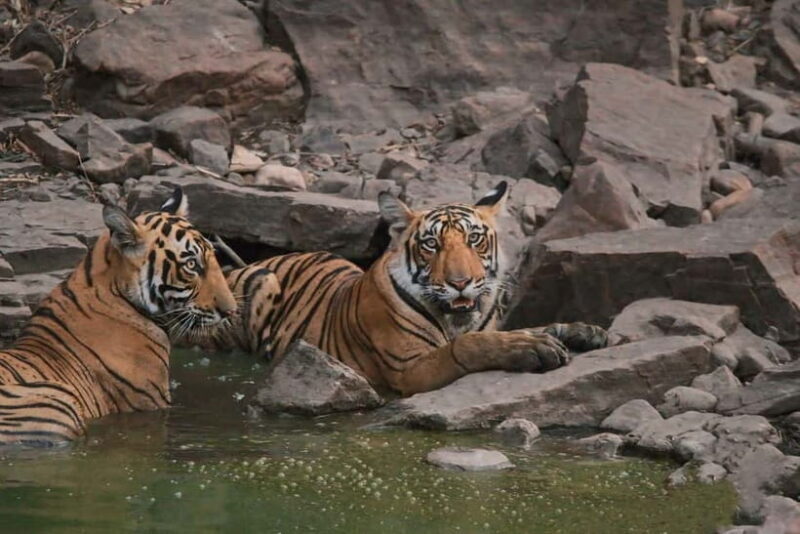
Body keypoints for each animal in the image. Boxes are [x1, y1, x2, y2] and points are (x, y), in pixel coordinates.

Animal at [219, 181, 607, 396]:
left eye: (474, 239)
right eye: (432, 244)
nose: (460, 283)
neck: (455, 320)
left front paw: (582, 331)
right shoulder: (409, 368)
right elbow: (466, 346)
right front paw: (530, 348)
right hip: (261, 284)